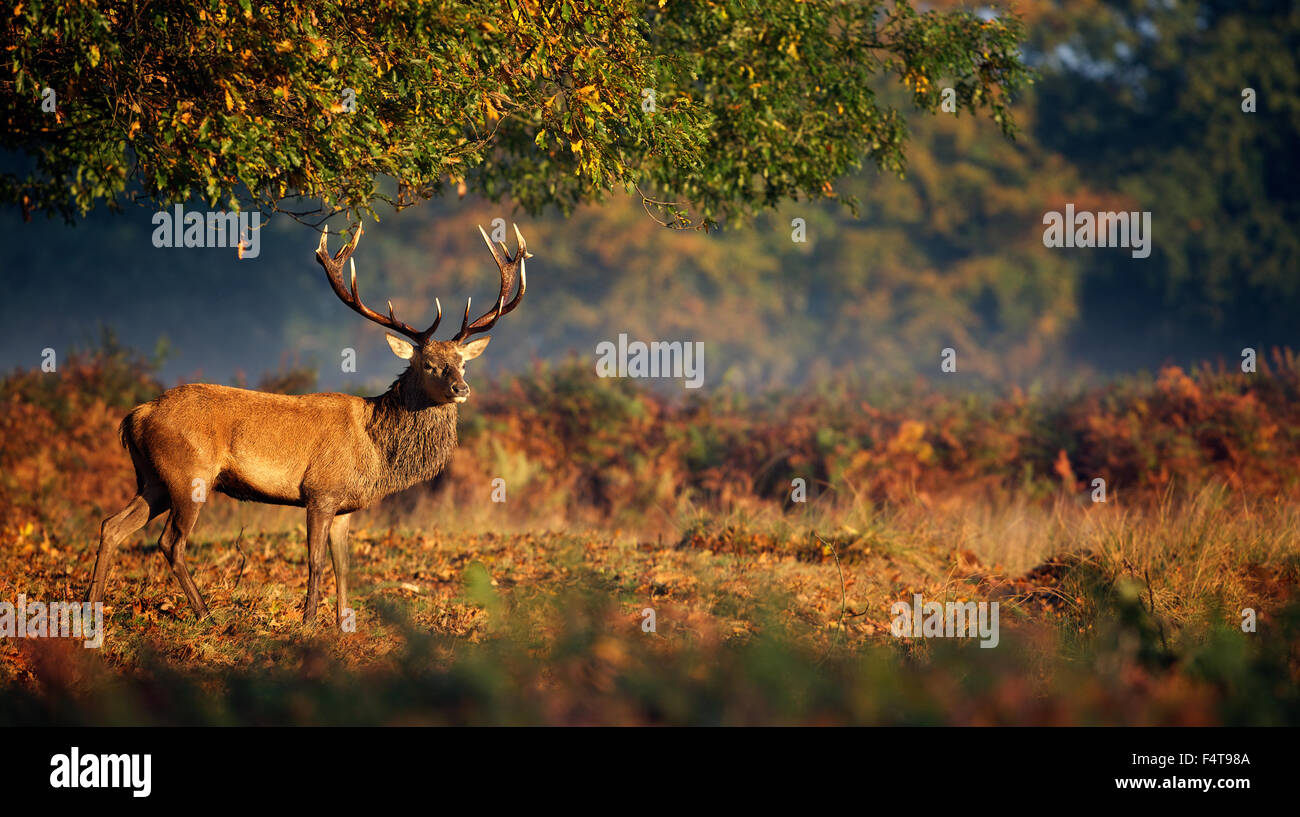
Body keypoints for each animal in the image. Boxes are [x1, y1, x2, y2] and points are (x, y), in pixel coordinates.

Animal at [85, 223, 530, 628]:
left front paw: (344, 625)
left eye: (463, 362)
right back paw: (207, 615)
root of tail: (136, 416)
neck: (375, 450)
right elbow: (315, 561)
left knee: (112, 526)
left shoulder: (346, 506)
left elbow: (343, 566)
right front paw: (309, 622)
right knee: (170, 543)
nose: (461, 388)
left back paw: (91, 609)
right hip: (188, 474)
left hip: (154, 479)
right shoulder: (320, 491)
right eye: (428, 364)